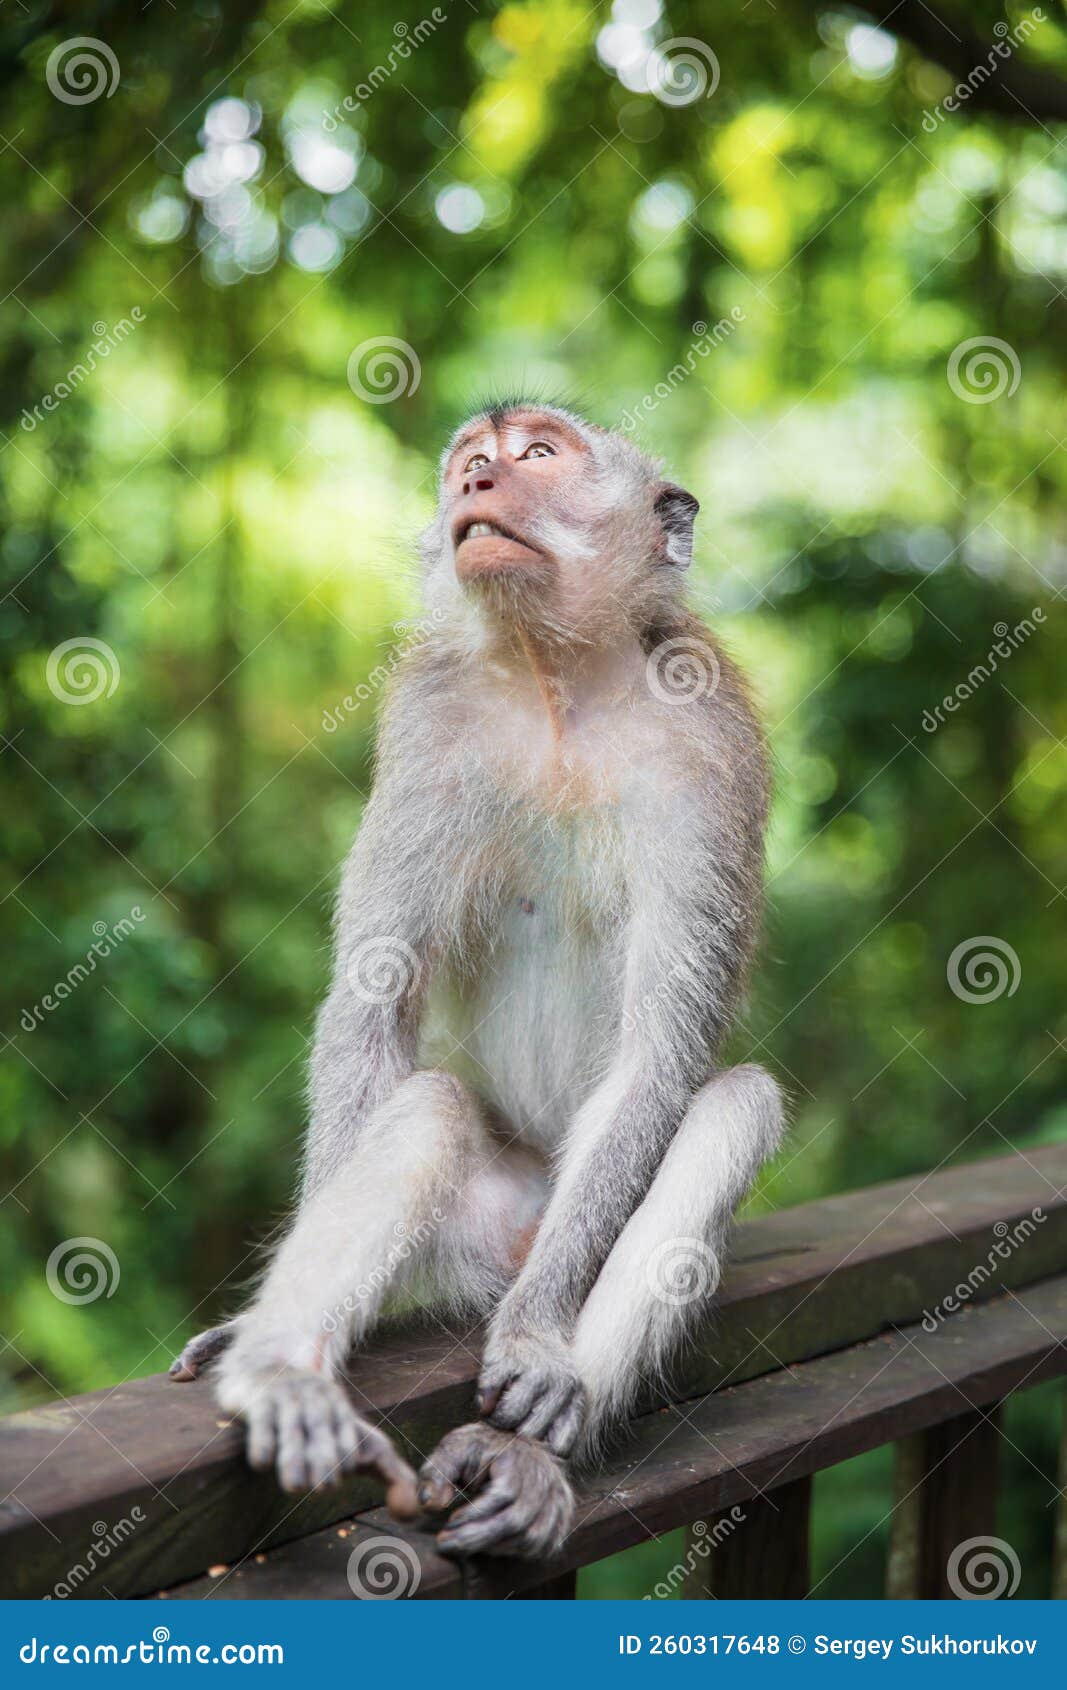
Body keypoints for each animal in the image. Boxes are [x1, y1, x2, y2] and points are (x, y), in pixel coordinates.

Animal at [170, 399, 785, 1560]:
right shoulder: (427, 726)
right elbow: (375, 998)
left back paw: (531, 1443)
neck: (558, 682)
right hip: (456, 1245)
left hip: (557, 1229)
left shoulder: (707, 742)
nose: (477, 485)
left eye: (538, 454)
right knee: (430, 1108)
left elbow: (657, 1055)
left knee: (733, 1105)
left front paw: (541, 1345)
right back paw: (284, 1369)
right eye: (470, 460)